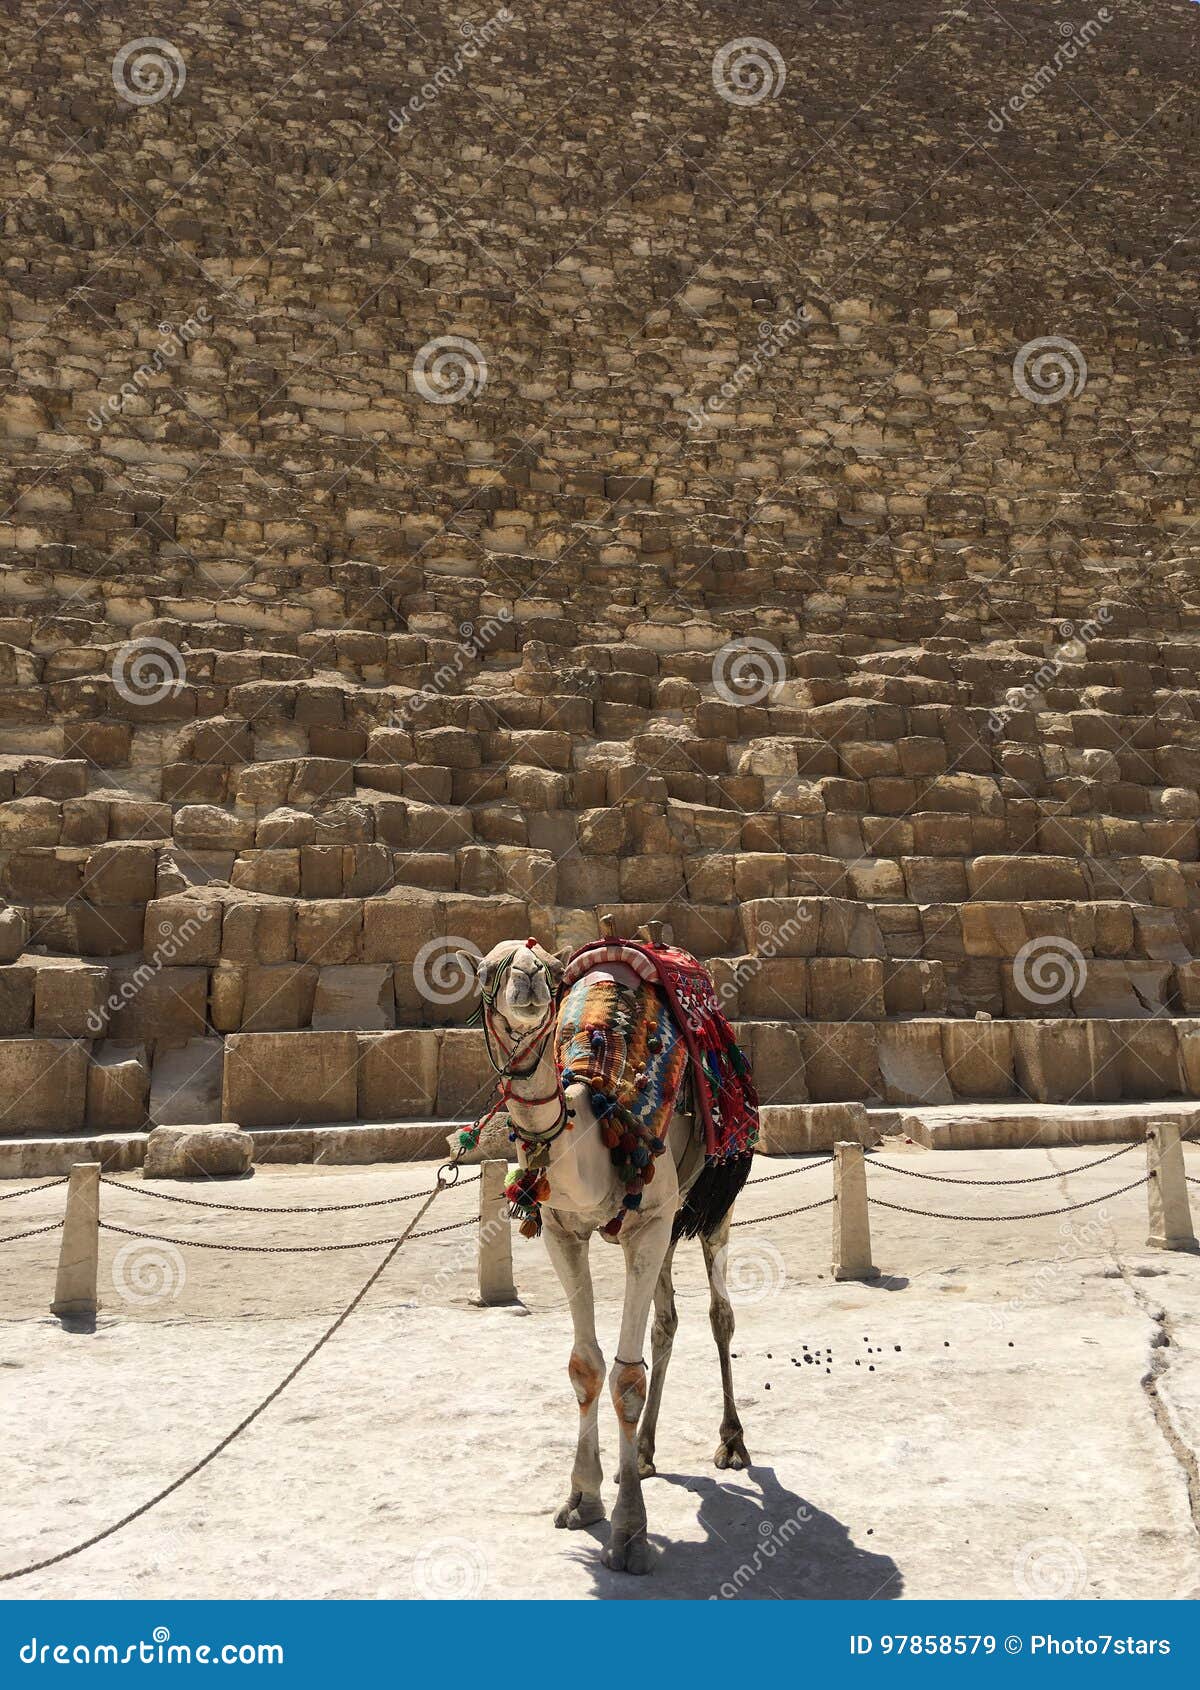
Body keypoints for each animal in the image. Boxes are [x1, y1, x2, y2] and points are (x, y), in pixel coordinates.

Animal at [467, 936, 753, 1574]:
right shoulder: (562, 1230)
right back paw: (643, 1453)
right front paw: (582, 1500)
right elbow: (587, 1366)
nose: (525, 978)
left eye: (550, 969)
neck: (595, 1122)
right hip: (665, 1223)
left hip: (714, 1200)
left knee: (720, 1315)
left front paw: (630, 1533)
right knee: (666, 1323)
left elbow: (625, 1377)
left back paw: (731, 1442)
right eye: (484, 970)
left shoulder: (647, 1223)